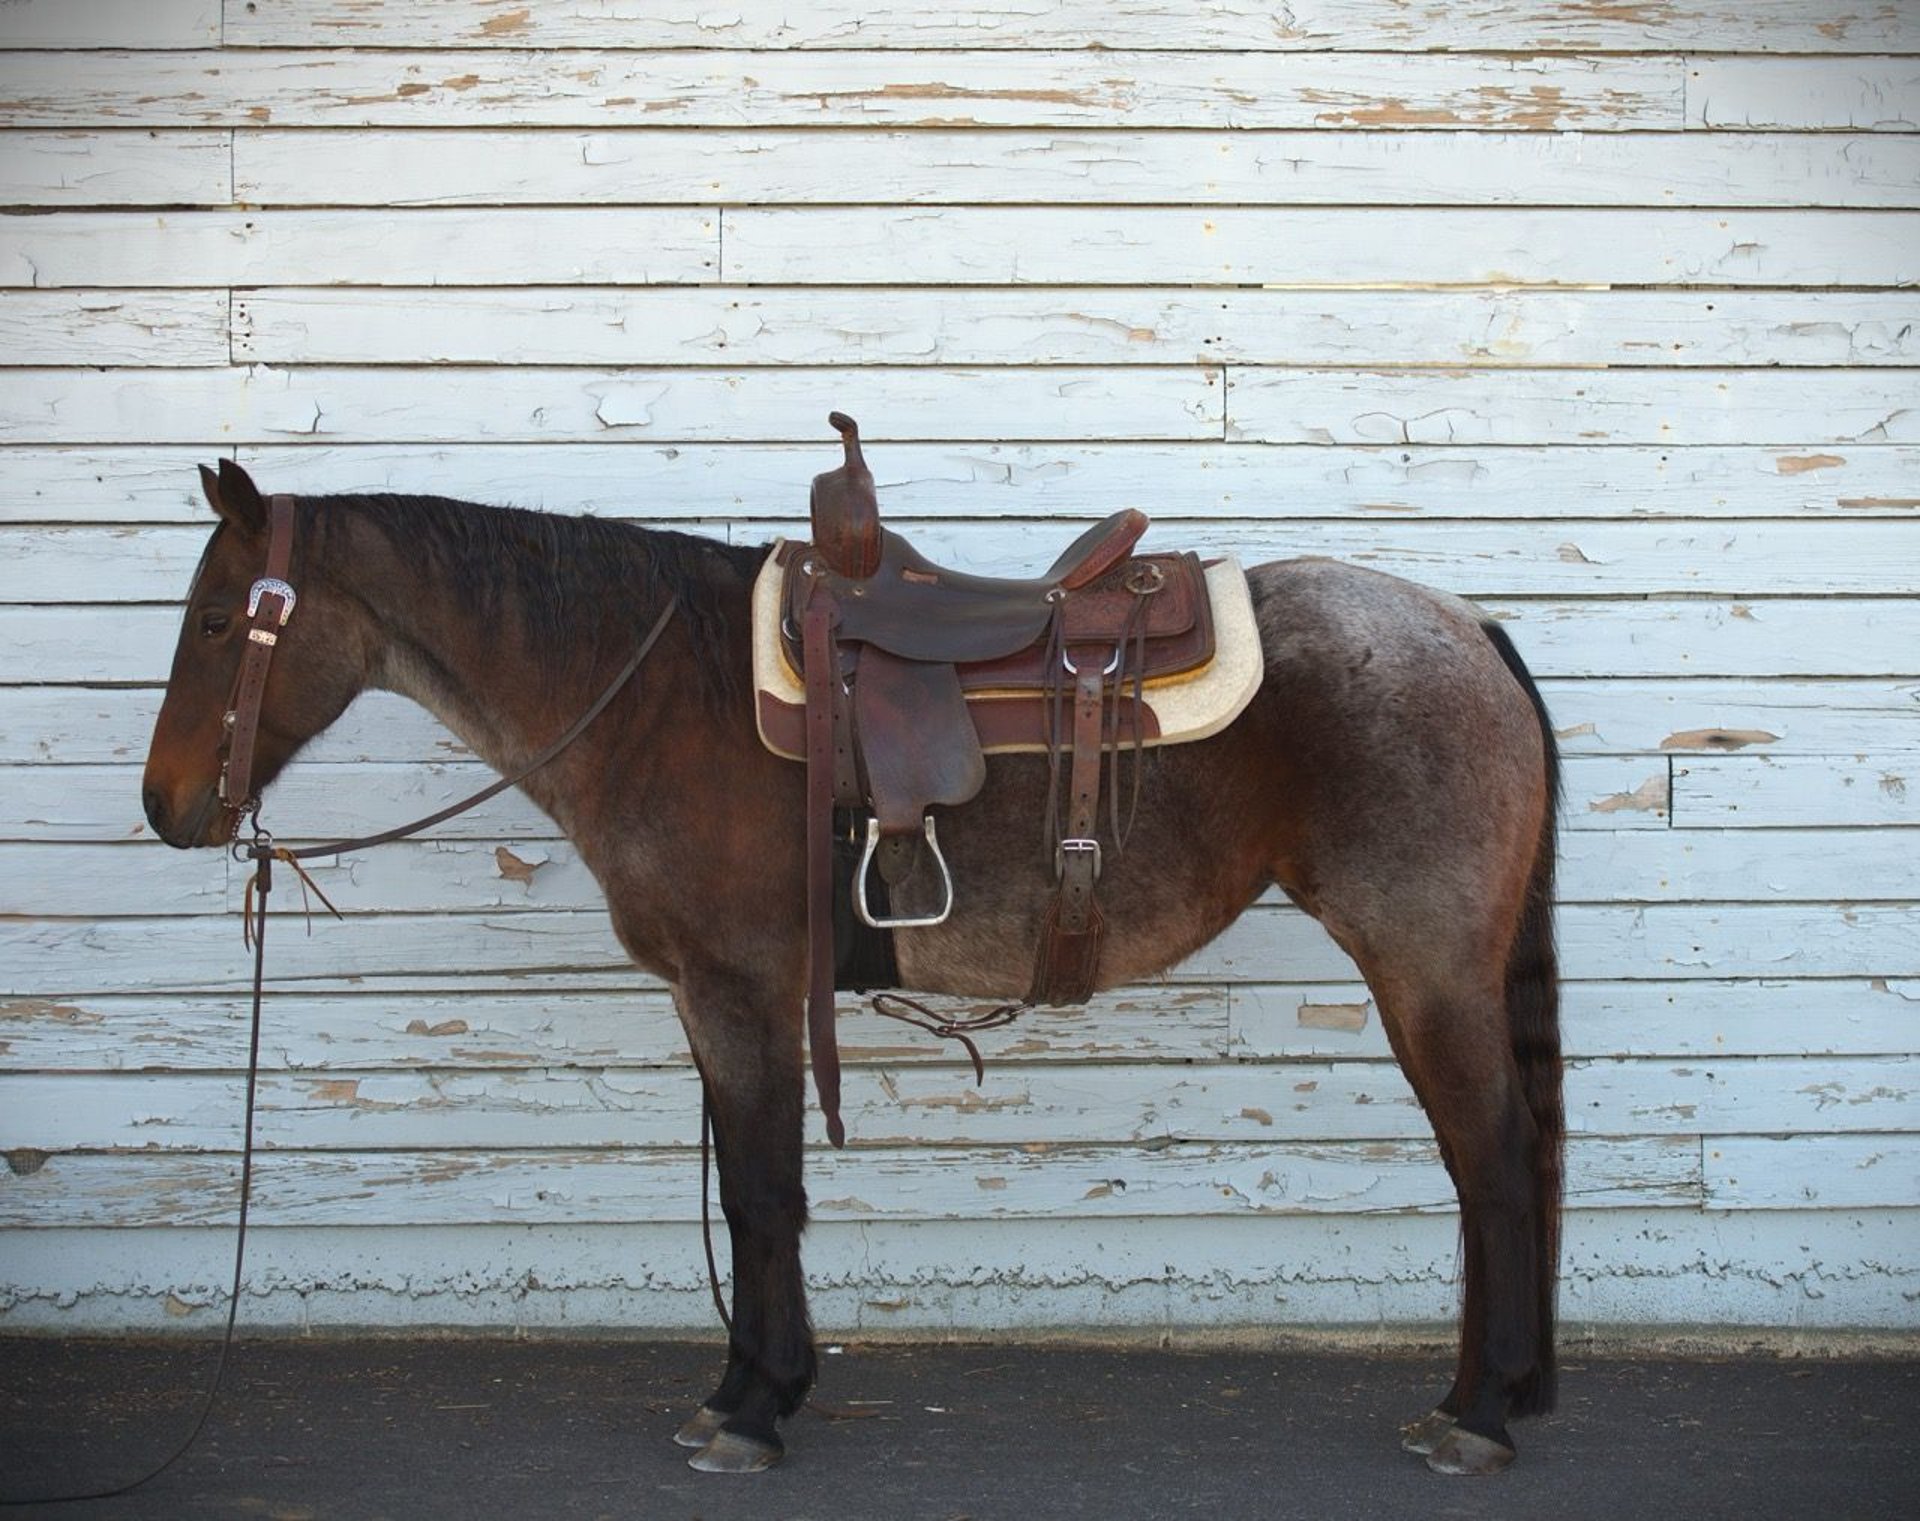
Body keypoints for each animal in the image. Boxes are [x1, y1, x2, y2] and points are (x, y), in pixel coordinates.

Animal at [141, 455, 1563, 1479]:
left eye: (215, 619)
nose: (164, 808)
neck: (655, 694)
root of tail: (1468, 628)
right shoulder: (719, 1001)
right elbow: (748, 1192)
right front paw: (752, 1385)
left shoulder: (742, 991)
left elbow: (764, 1194)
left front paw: (752, 1414)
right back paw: (1480, 1393)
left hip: (1425, 967)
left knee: (1494, 1165)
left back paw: (1479, 1417)